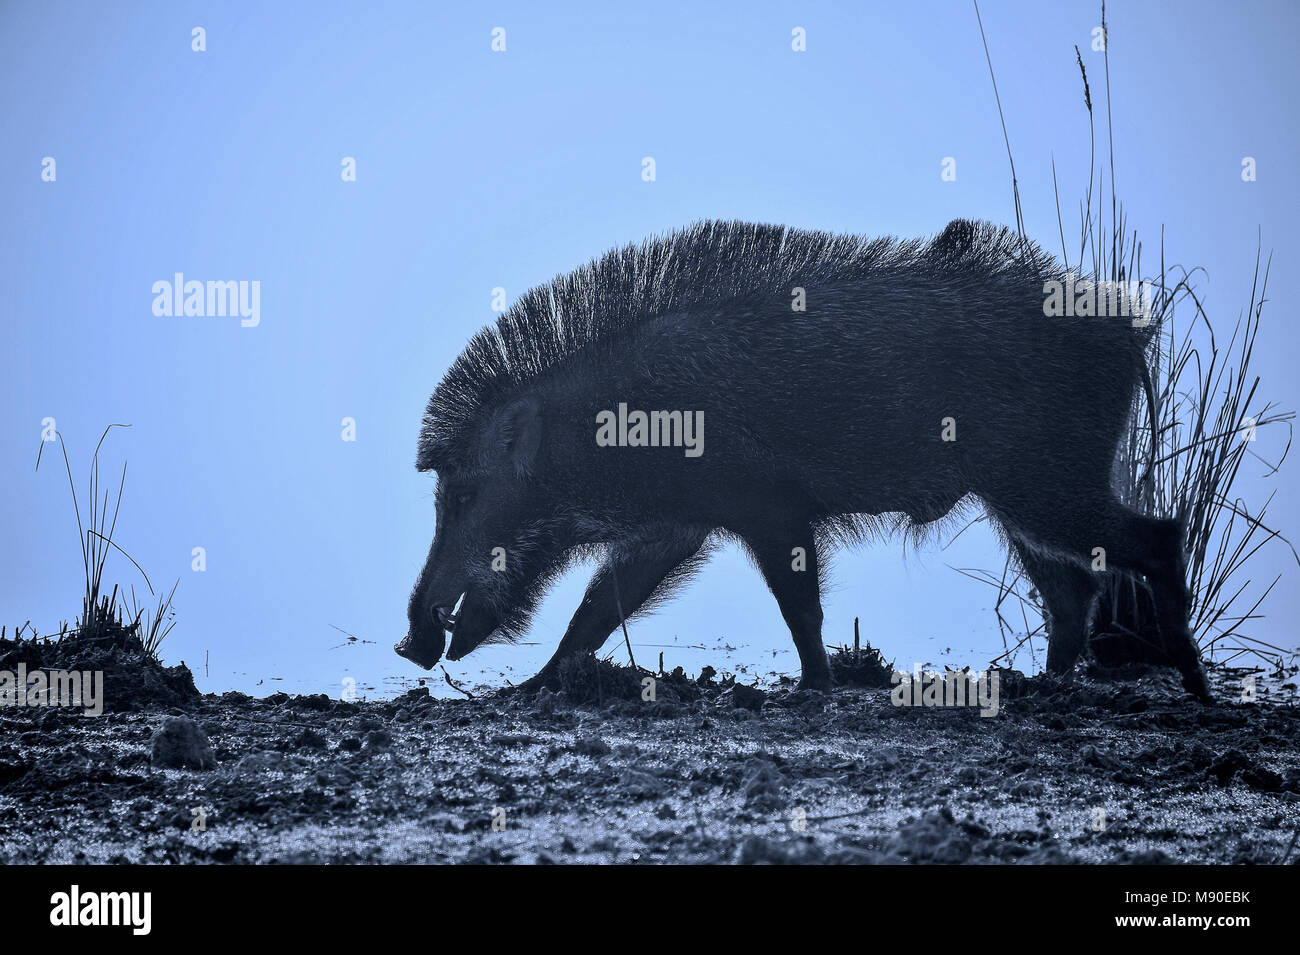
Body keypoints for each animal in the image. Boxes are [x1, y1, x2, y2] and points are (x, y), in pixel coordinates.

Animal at [398, 219, 1211, 701]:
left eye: (464, 494)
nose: (410, 641)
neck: (611, 423)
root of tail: (1132, 327)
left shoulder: (768, 507)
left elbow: (800, 606)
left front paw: (814, 688)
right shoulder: (675, 527)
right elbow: (597, 608)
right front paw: (531, 688)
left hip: (1046, 479)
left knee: (1155, 539)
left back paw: (1196, 688)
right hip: (1020, 494)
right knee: (1073, 591)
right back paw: (1041, 689)